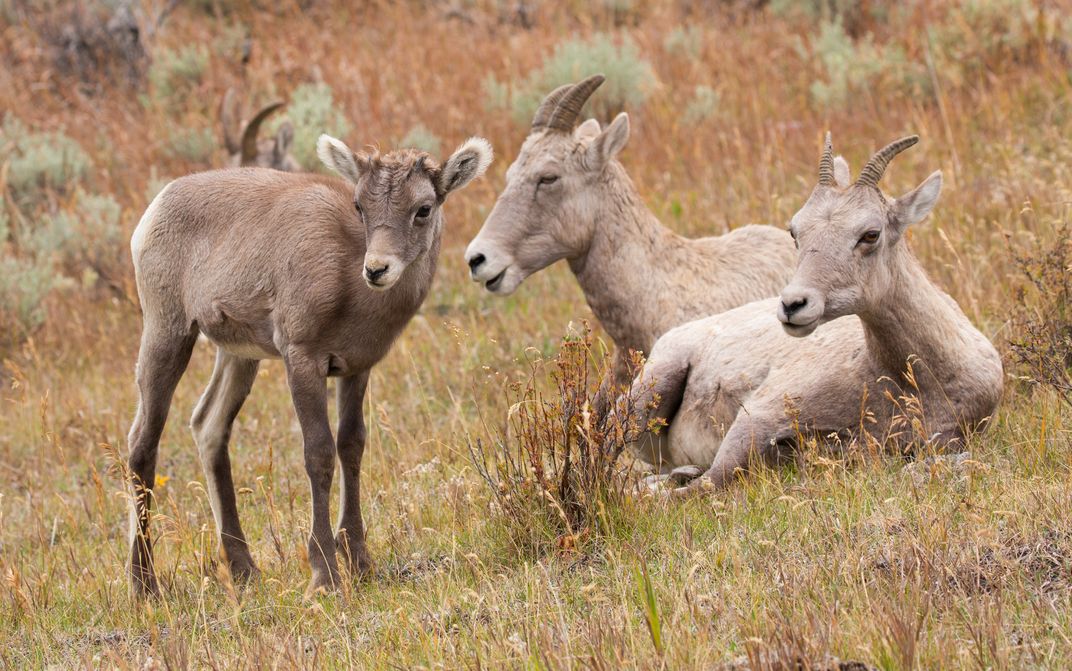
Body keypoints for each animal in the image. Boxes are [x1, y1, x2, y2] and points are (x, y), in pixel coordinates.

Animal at [127, 132, 492, 597]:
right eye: (360, 205)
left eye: (423, 209)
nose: (377, 269)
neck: (351, 290)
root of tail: (156, 208)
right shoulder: (302, 359)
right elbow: (318, 453)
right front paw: (325, 575)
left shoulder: (355, 368)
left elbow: (351, 446)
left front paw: (361, 563)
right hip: (168, 333)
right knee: (142, 444)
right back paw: (144, 585)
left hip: (238, 356)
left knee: (208, 427)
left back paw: (244, 570)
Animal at [628, 134, 1003, 493]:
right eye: (795, 231)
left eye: (871, 234)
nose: (793, 305)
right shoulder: (758, 416)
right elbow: (702, 487)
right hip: (647, 395)